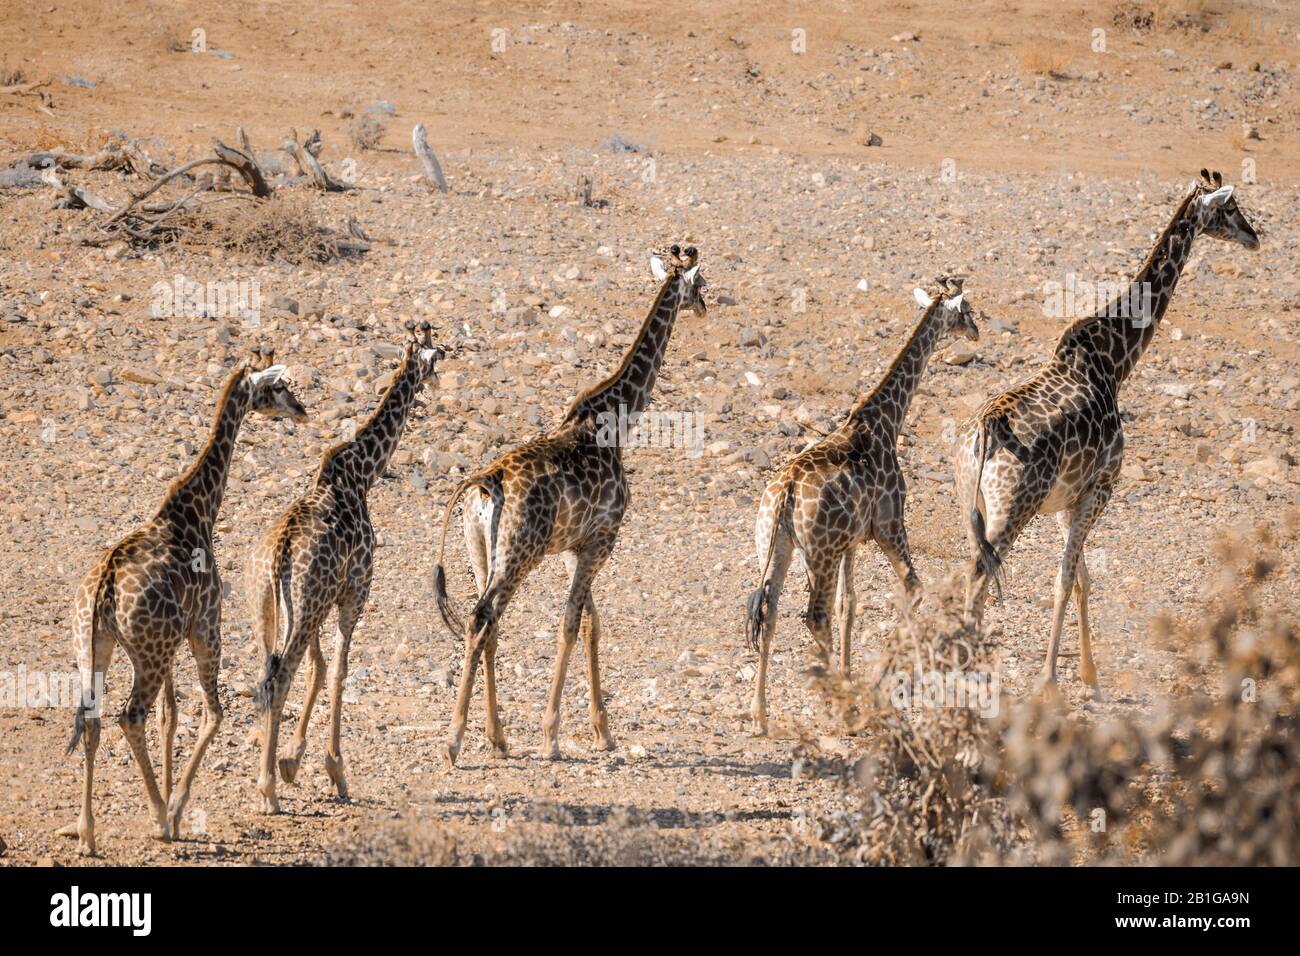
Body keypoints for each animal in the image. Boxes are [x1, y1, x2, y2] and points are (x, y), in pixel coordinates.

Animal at [63, 351, 307, 855]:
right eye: (278, 387)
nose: (301, 410)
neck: (199, 509)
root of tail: (102, 591)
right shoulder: (204, 627)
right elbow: (212, 714)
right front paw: (174, 809)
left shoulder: (172, 644)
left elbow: (170, 718)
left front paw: (171, 803)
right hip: (150, 654)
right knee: (129, 717)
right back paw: (159, 816)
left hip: (96, 649)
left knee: (95, 722)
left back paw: (88, 833)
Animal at [247, 323, 443, 813]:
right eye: (439, 355)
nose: (436, 383)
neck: (362, 473)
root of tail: (276, 556)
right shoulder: (355, 591)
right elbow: (338, 670)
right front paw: (334, 770)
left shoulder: (320, 602)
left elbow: (318, 669)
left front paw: (293, 759)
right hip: (308, 608)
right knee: (279, 679)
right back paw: (267, 791)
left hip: (268, 613)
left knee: (266, 678)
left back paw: (268, 775)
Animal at [432, 243, 706, 767]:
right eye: (702, 283)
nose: (706, 306)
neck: (617, 422)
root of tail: (486, 482)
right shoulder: (604, 539)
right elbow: (569, 624)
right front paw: (552, 736)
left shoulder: (575, 546)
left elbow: (590, 625)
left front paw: (604, 731)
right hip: (518, 553)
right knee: (481, 618)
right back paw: (454, 740)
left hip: (481, 551)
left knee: (488, 623)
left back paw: (497, 737)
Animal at [744, 278, 981, 736]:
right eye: (967, 310)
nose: (977, 331)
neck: (886, 420)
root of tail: (784, 496)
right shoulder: (890, 526)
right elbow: (913, 588)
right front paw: (876, 682)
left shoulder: (851, 543)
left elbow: (849, 605)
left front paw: (852, 675)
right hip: (819, 552)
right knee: (813, 616)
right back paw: (833, 708)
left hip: (778, 546)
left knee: (772, 610)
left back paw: (760, 714)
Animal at [956, 169, 1260, 695]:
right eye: (1229, 208)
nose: (1254, 237)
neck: (1116, 362)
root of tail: (984, 437)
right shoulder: (1103, 487)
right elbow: (1064, 577)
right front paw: (1050, 680)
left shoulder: (1069, 499)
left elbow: (1082, 578)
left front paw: (1090, 677)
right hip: (1011, 509)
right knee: (977, 578)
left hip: (971, 503)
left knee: (960, 575)